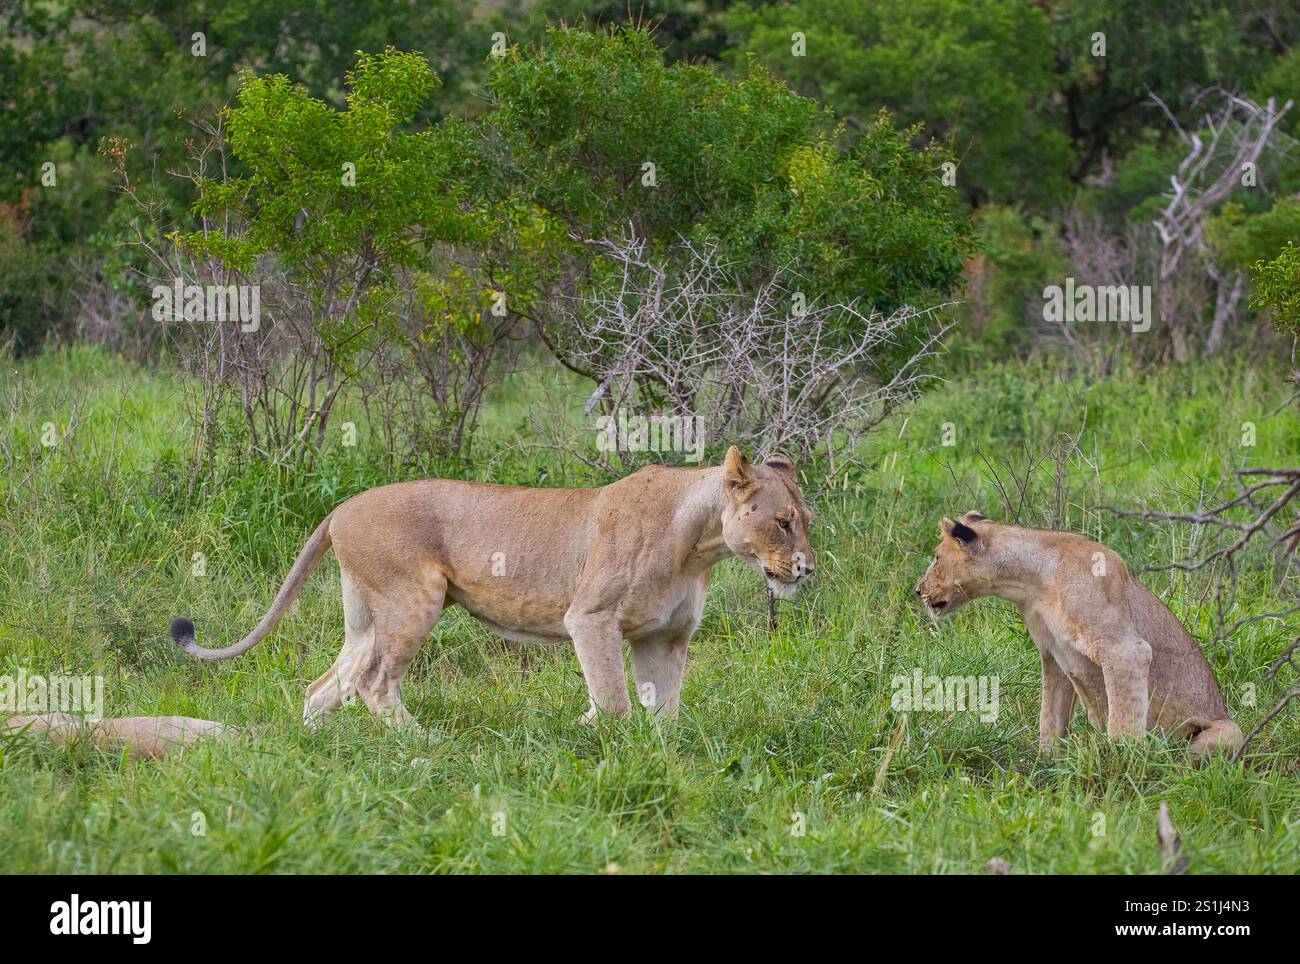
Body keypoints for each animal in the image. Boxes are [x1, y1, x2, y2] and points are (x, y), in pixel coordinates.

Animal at [171, 447, 814, 726]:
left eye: (806, 521)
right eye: (783, 523)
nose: (806, 569)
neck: (699, 543)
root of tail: (339, 508)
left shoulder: (665, 637)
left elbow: (666, 707)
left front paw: (664, 755)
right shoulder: (591, 618)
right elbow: (613, 698)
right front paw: (600, 741)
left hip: (365, 616)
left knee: (329, 682)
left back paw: (325, 748)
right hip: (413, 599)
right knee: (375, 682)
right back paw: (418, 744)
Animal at [915, 512, 1241, 757]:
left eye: (935, 558)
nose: (918, 590)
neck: (1031, 582)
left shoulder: (1126, 651)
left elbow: (1122, 723)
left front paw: (1120, 767)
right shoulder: (1054, 656)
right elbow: (1050, 716)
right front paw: (1046, 764)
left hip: (1230, 731)